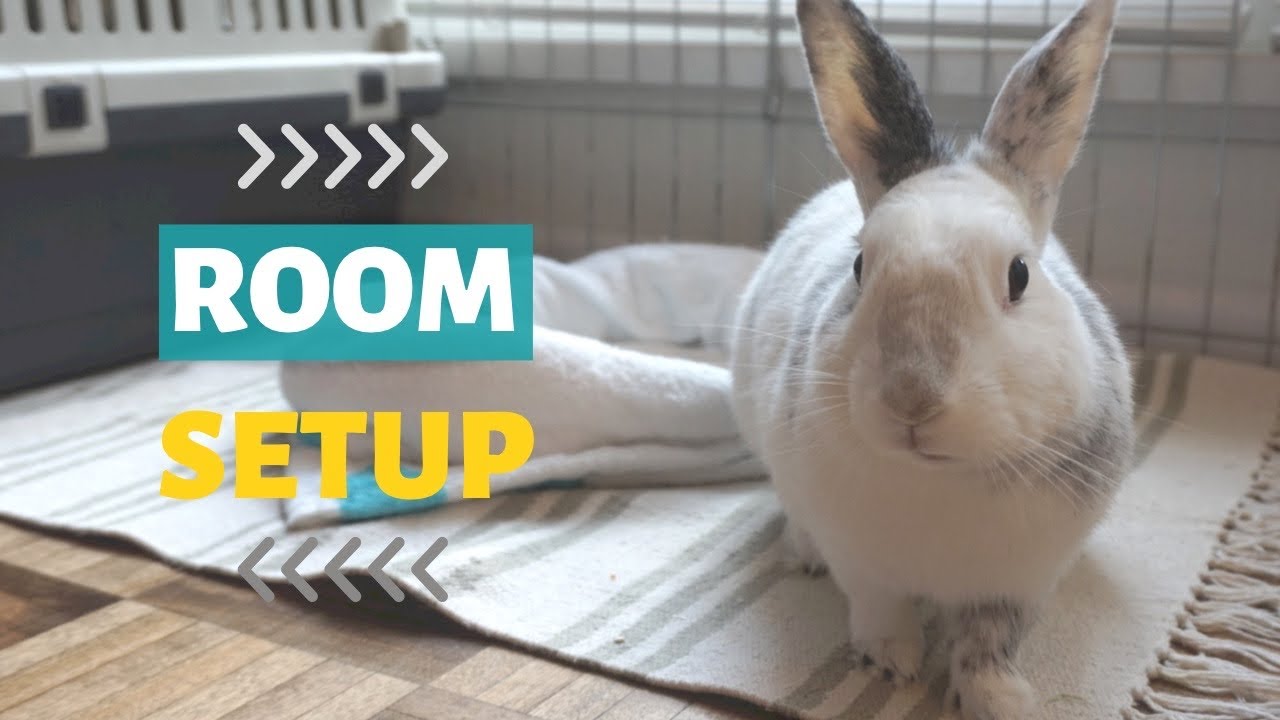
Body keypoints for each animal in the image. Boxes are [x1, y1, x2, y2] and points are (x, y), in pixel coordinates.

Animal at [728, 0, 1133, 717]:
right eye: (860, 267)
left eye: (1020, 275)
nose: (911, 398)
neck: (939, 476)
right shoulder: (862, 562)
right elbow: (879, 609)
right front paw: (892, 665)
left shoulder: (1020, 581)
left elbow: (990, 642)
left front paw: (1001, 700)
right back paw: (803, 556)